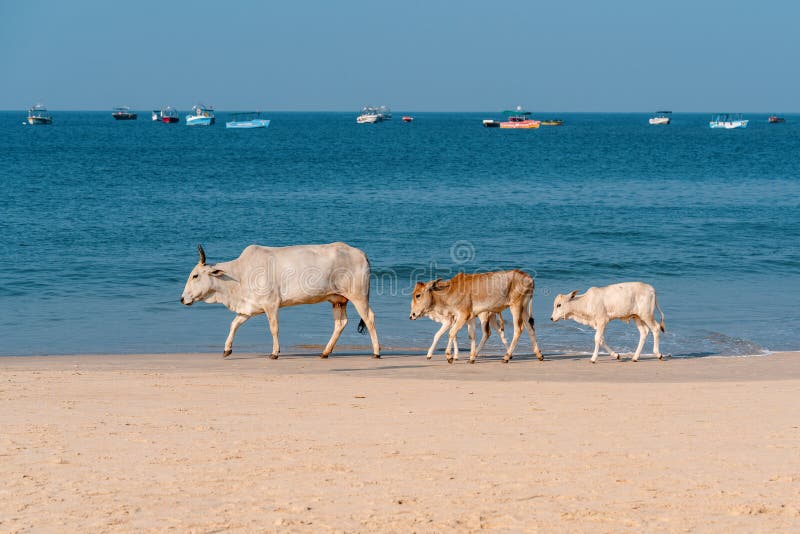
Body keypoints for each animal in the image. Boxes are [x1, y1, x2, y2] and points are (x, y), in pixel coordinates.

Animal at [181, 243, 380, 359]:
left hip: (358, 296)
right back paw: (325, 352)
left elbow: (273, 328)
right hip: (338, 299)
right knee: (340, 323)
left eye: (195, 275)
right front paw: (227, 349)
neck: (239, 274)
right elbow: (234, 324)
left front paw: (275, 352)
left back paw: (376, 352)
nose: (182, 299)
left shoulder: (271, 304)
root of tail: (360, 253)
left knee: (369, 318)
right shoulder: (249, 307)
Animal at [409, 270, 543, 364]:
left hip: (515, 306)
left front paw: (449, 356)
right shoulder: (470, 317)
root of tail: (529, 278)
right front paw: (471, 357)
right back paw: (539, 355)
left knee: (518, 329)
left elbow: (451, 333)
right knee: (530, 328)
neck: (450, 291)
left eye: (418, 295)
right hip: (523, 309)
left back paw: (506, 357)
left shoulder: (462, 315)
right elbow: (471, 335)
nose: (412, 315)